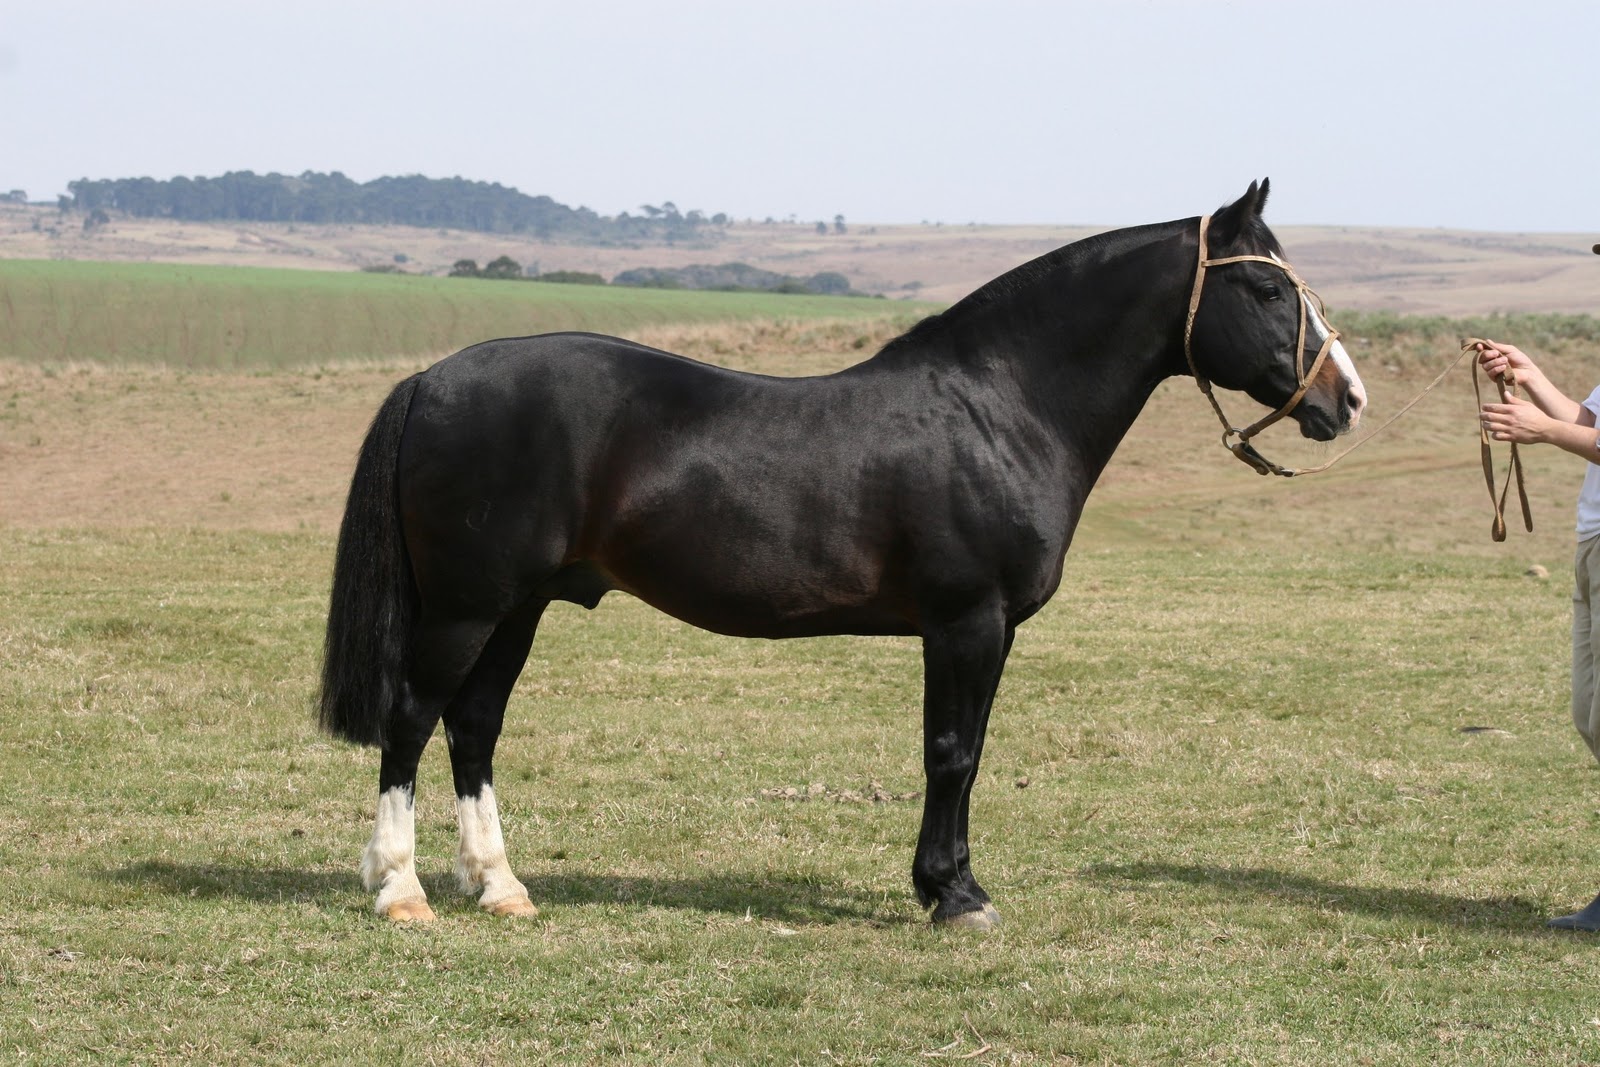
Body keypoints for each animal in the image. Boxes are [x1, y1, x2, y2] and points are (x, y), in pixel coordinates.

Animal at [320, 179, 1367, 929]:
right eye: (1264, 286)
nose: (1345, 399)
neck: (999, 407)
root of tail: (432, 377)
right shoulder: (965, 621)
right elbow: (952, 752)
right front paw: (955, 895)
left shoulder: (989, 631)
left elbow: (968, 753)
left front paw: (948, 884)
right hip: (467, 605)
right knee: (413, 720)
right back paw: (402, 890)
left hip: (519, 606)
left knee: (475, 725)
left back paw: (500, 885)